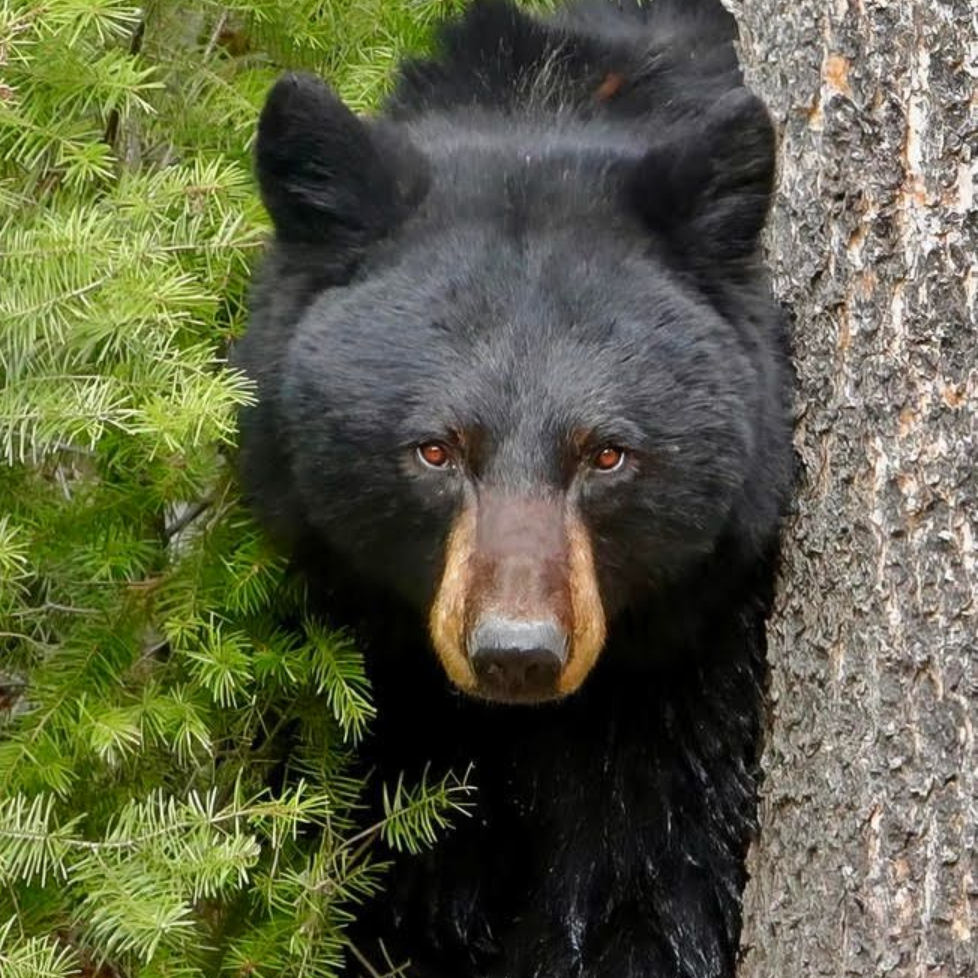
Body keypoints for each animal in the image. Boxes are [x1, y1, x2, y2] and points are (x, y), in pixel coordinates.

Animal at [234, 1, 794, 976]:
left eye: (607, 455)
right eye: (434, 450)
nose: (517, 653)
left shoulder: (689, 692)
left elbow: (653, 894)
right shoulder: (389, 707)